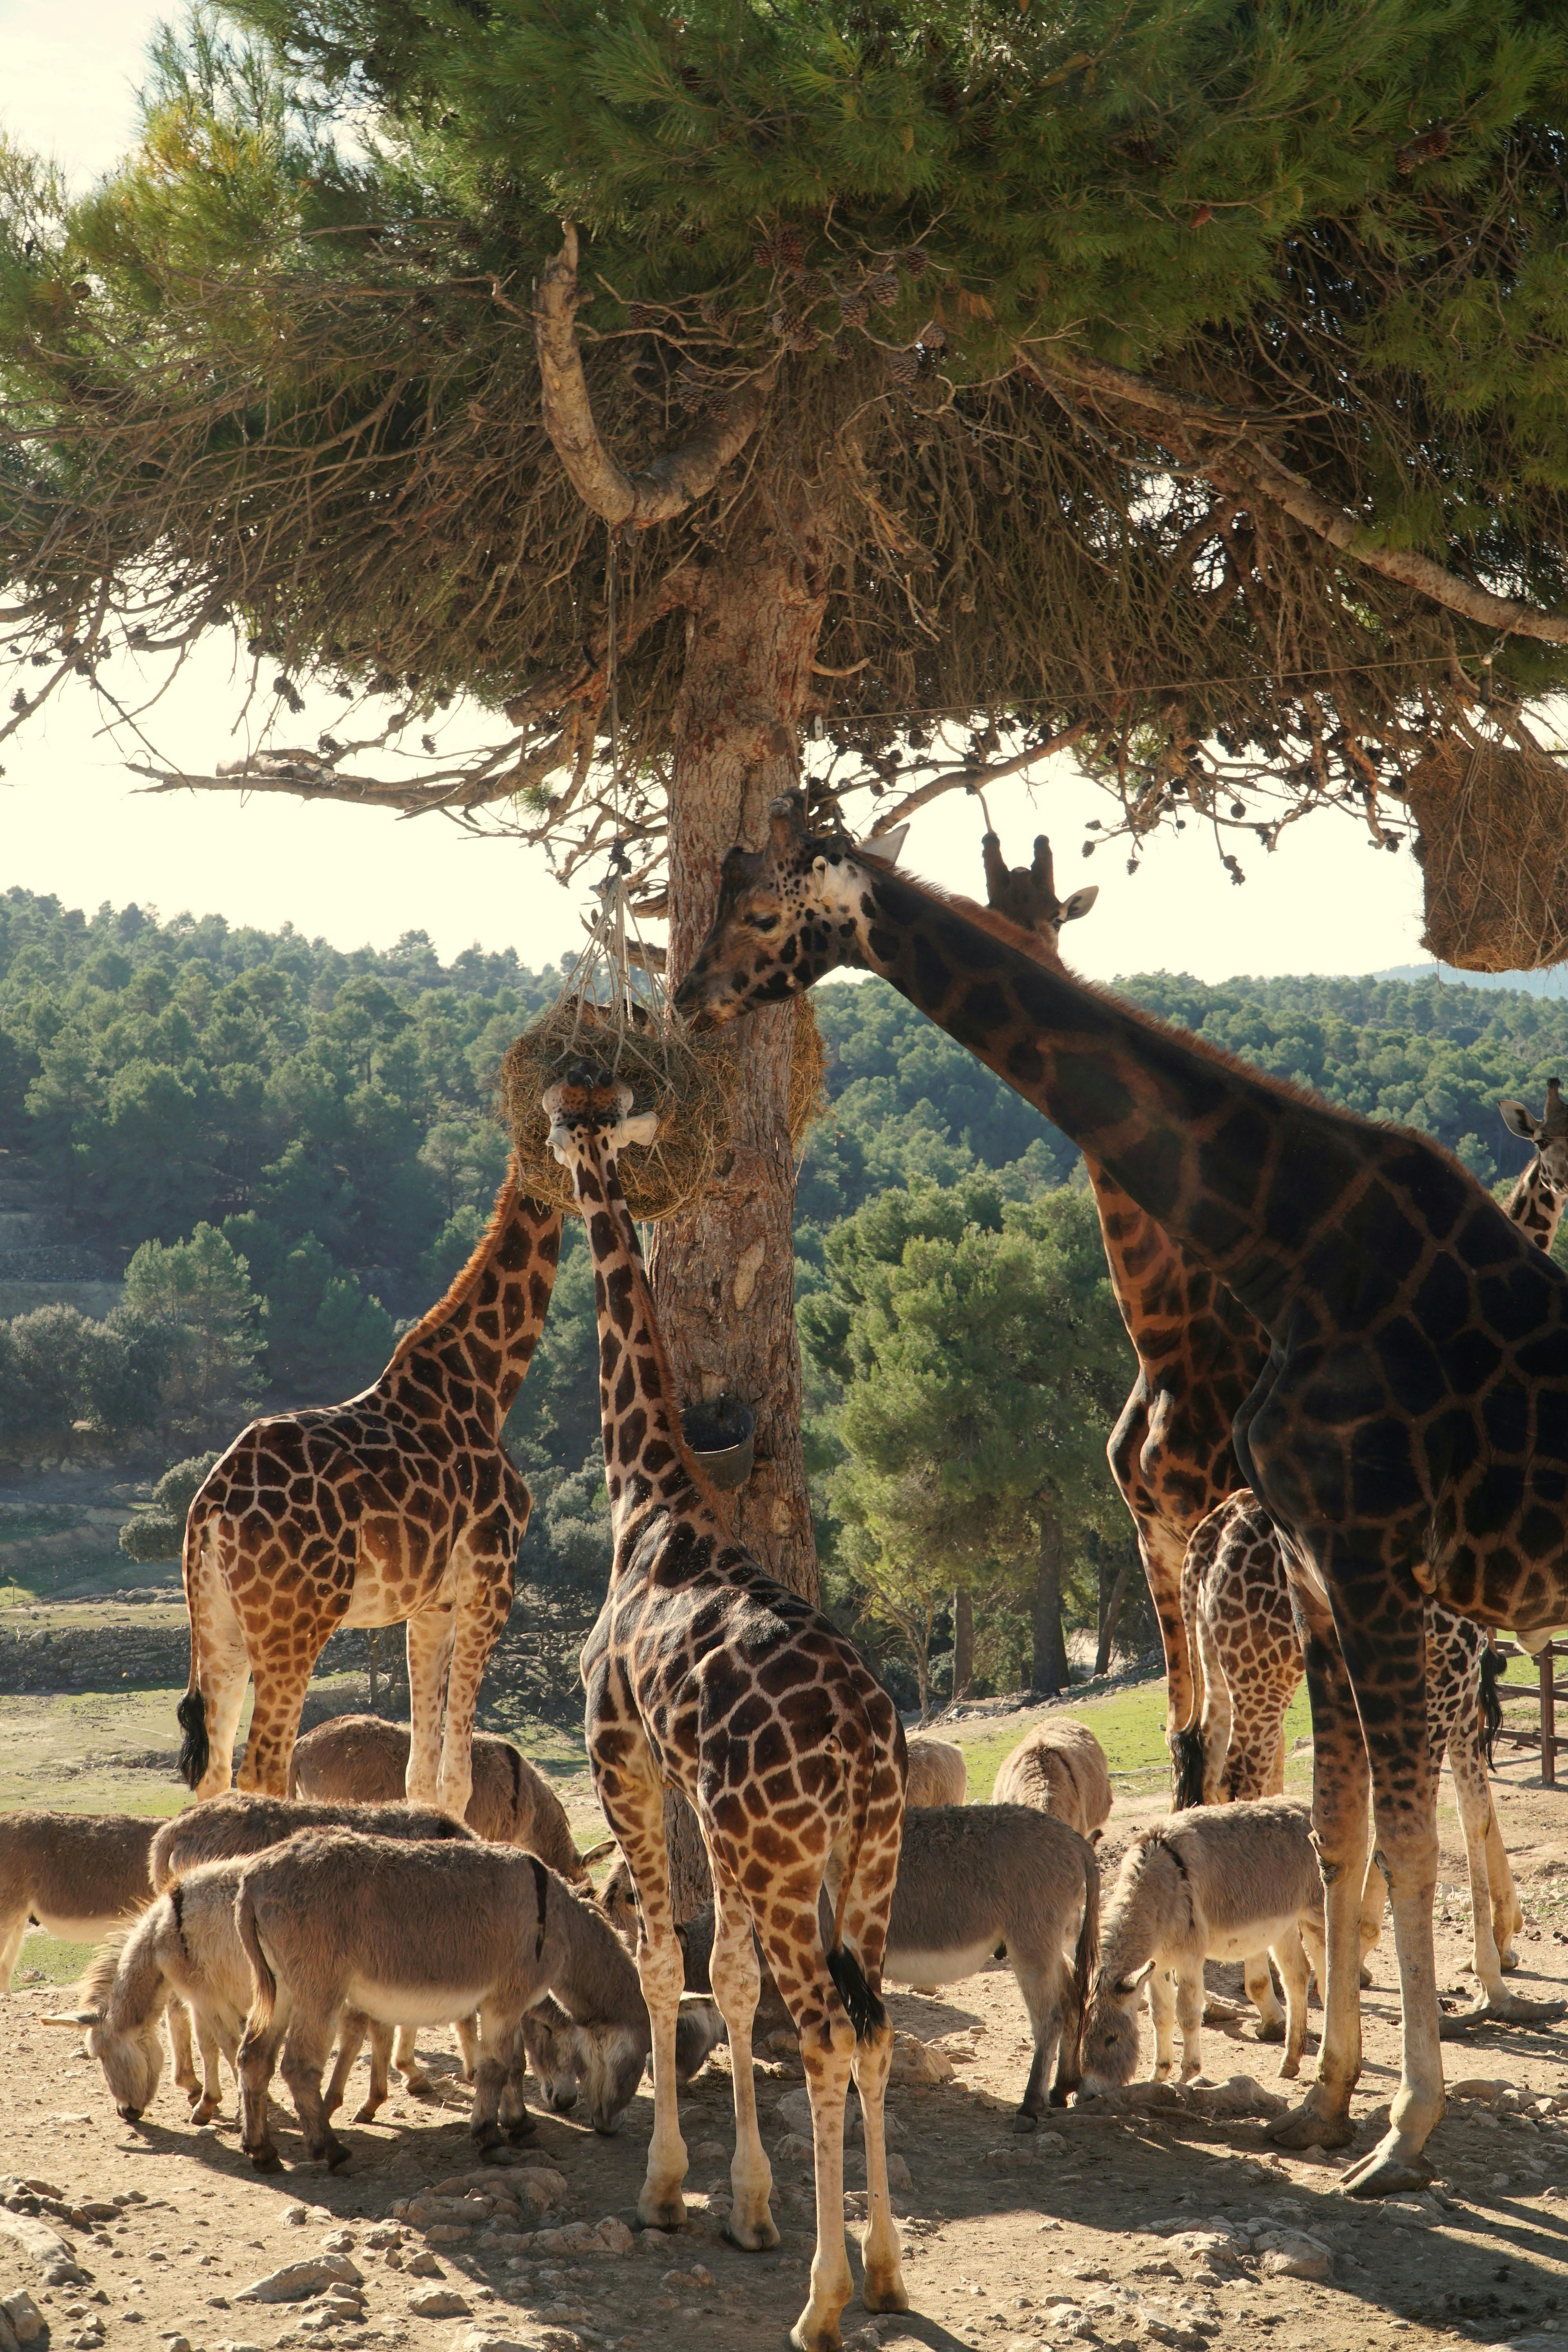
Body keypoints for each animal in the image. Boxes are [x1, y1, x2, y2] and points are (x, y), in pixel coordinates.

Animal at [177, 1170, 561, 1817]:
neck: (487, 1385)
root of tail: (209, 1508)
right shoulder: (490, 1587)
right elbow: (457, 1780)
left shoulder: (430, 1607)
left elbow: (422, 1775)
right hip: (294, 1625)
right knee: (264, 1765)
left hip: (219, 1625)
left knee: (216, 1769)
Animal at [542, 1066, 907, 2352]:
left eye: (573, 1119)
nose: (557, 1132)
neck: (653, 1500)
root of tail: (863, 1740)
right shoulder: (716, 1813)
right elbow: (732, 1981)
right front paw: (749, 2203)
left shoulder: (624, 1764)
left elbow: (663, 1963)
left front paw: (665, 2189)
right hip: (869, 1852)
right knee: (875, 2023)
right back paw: (886, 2271)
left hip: (793, 1855)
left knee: (831, 2028)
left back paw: (823, 2303)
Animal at [676, 792, 1568, 2197]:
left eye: (764, 911)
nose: (690, 992)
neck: (1290, 1245)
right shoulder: (1320, 1577)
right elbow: (1337, 1832)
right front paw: (1323, 2103)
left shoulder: (1372, 1559)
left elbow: (1398, 1841)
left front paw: (1401, 2132)